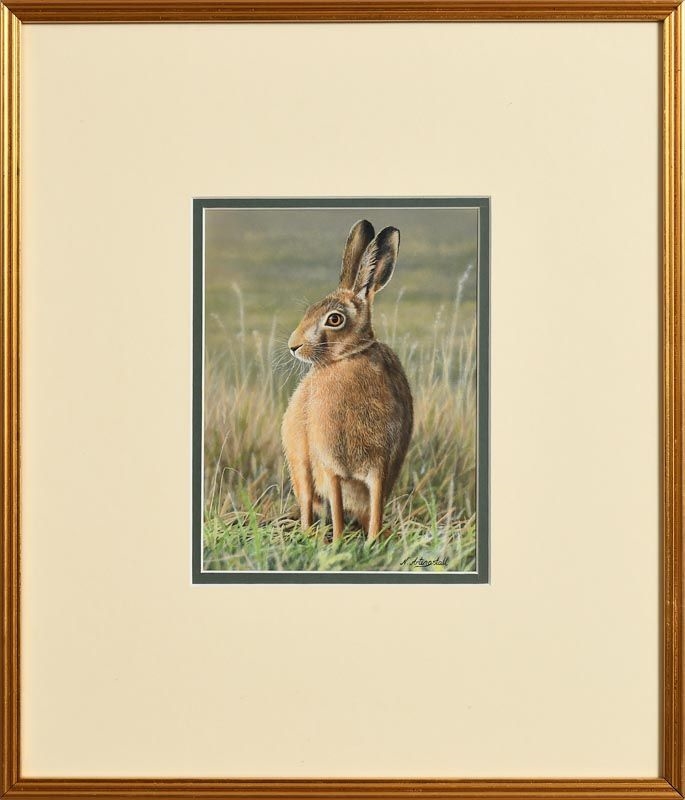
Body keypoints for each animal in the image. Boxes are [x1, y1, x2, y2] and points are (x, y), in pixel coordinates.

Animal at [281, 219, 413, 542]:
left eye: (334, 319)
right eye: (308, 311)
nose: (293, 346)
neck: (347, 359)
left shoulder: (380, 466)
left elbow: (376, 506)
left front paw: (374, 541)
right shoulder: (329, 466)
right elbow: (336, 506)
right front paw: (339, 542)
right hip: (301, 466)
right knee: (308, 504)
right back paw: (310, 535)